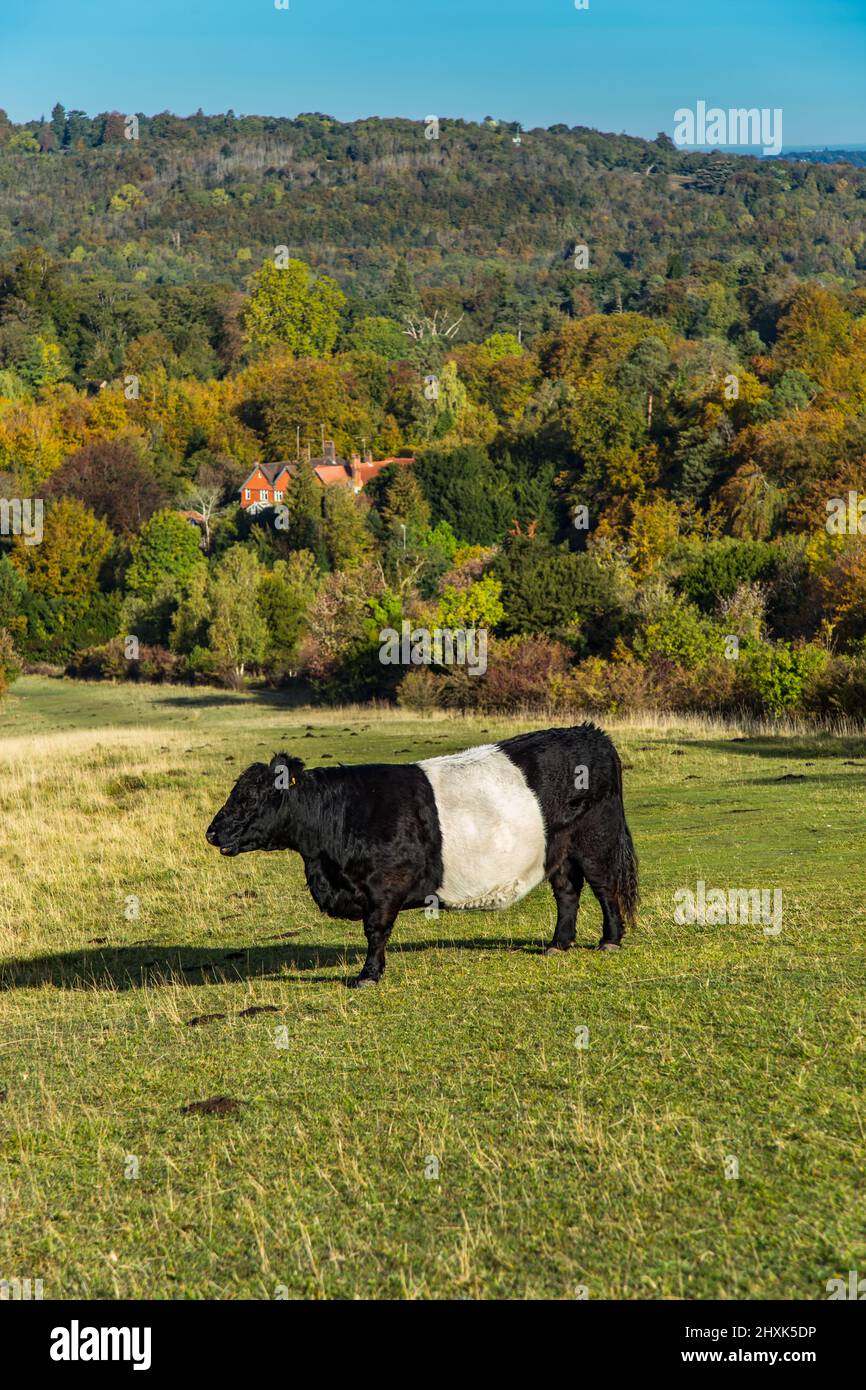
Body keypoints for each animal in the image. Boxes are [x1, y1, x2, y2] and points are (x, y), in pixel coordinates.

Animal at [205, 723, 638, 988]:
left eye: (249, 798)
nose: (211, 832)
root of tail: (591, 733)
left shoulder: (384, 885)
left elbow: (375, 931)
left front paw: (367, 975)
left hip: (595, 840)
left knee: (604, 887)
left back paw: (609, 940)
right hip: (558, 849)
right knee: (567, 891)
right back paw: (558, 943)